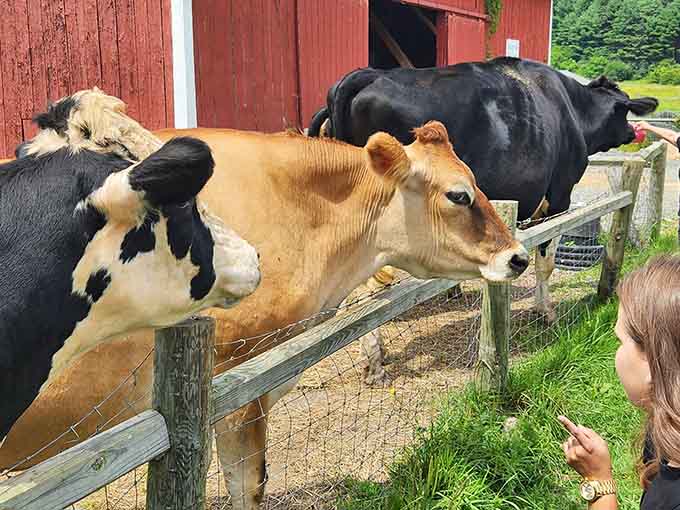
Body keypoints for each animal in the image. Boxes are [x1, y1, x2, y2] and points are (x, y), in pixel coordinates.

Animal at [308, 56, 658, 382]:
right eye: (625, 111)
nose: (635, 132)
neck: (572, 108)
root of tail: (361, 75)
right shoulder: (559, 197)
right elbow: (545, 260)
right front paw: (544, 311)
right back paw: (375, 361)